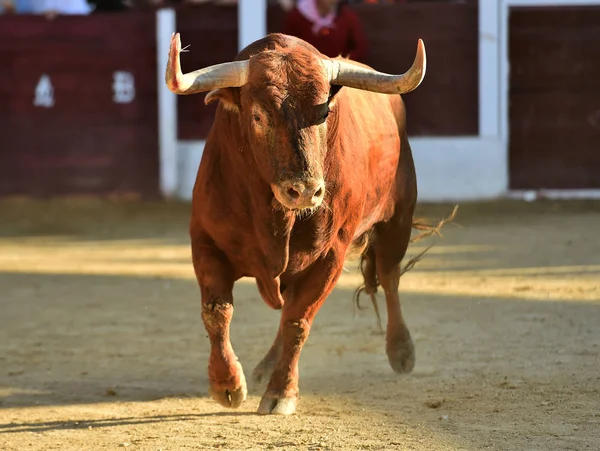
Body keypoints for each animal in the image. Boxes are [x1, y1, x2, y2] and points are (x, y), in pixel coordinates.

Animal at [164, 30, 426, 414]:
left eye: (324, 112)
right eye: (258, 116)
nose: (304, 190)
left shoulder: (330, 256)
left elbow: (298, 321)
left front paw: (282, 392)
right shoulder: (206, 241)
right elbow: (217, 312)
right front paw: (227, 384)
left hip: (398, 217)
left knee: (389, 275)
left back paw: (402, 350)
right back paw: (263, 367)